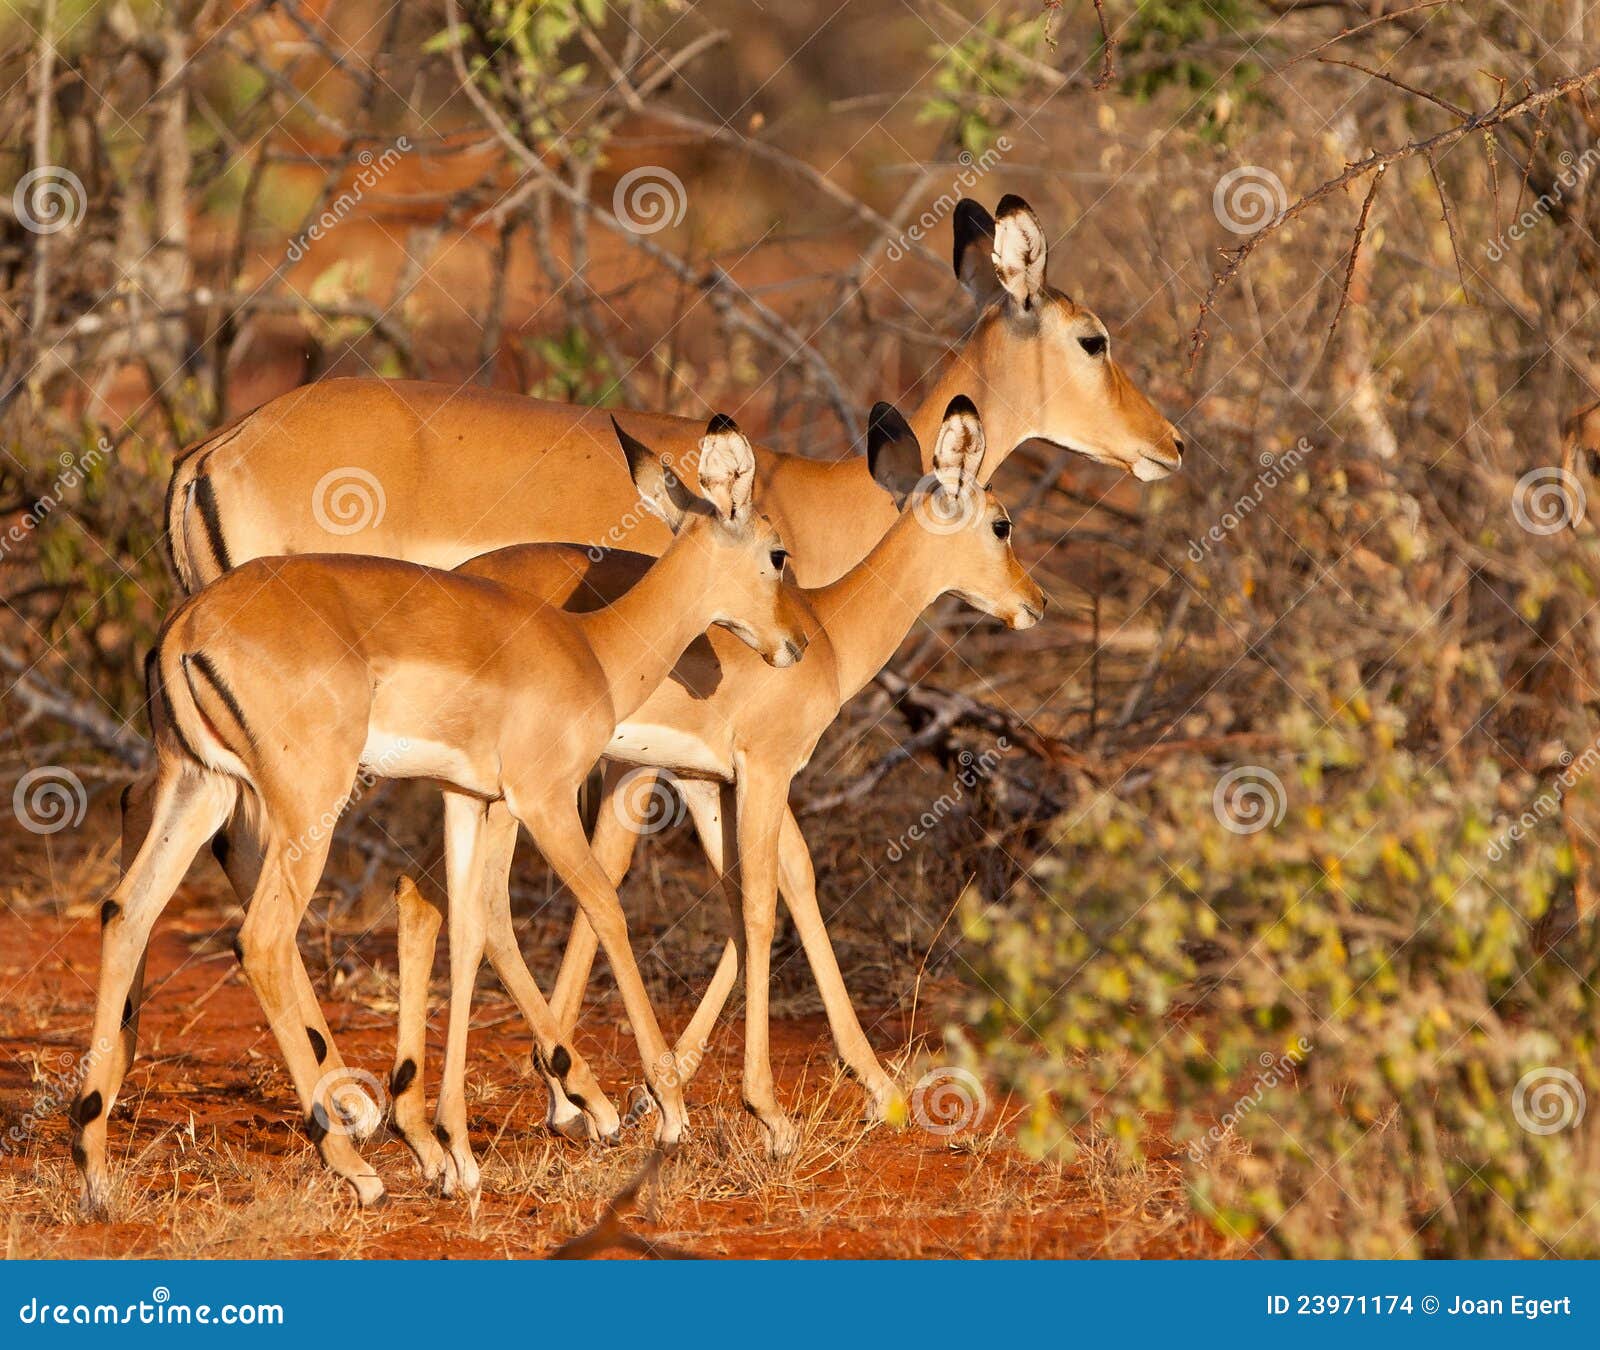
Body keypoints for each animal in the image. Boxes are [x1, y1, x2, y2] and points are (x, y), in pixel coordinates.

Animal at [71, 417, 806, 1212]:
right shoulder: (544, 800)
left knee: (127, 910)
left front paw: (456, 1154)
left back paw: (96, 1169)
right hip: (305, 808)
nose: (794, 644)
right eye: (776, 553)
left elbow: (470, 926)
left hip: (199, 786)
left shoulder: (471, 799)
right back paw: (353, 1163)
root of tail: (185, 629)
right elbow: (604, 910)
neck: (592, 648)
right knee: (260, 938)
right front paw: (660, 1113)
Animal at [389, 395, 1045, 1162]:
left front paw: (874, 1088)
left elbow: (774, 887)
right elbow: (763, 903)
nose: (1035, 603)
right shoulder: (765, 769)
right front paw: (769, 1113)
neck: (828, 630)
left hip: (479, 789)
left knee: (423, 896)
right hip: (515, 794)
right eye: (1001, 522)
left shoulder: (710, 783)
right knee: (477, 906)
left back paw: (430, 1123)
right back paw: (558, 1107)